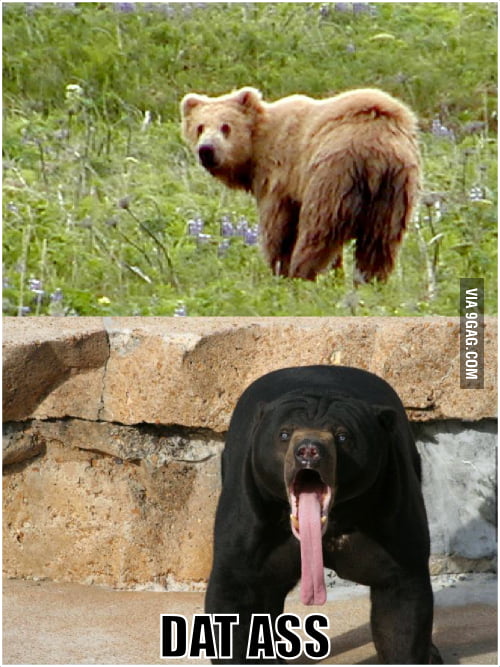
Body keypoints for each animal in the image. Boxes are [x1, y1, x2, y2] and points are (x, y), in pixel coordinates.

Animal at [180, 87, 421, 282]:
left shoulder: (280, 178)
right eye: (200, 127)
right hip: (395, 190)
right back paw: (371, 282)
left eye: (226, 126)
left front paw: (279, 268)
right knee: (380, 243)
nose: (207, 150)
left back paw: (302, 275)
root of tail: (375, 149)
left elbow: (278, 230)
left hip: (332, 176)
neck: (257, 149)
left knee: (318, 232)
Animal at [205, 365, 442, 664]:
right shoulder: (250, 519)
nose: (308, 451)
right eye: (284, 434)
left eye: (342, 436)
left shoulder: (392, 512)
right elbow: (235, 592)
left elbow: (401, 607)